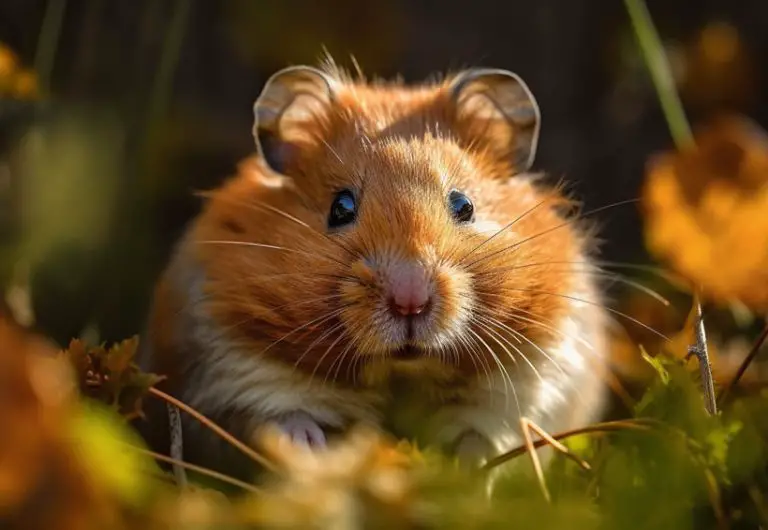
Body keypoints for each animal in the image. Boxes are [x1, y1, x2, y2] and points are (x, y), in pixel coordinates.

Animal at [137, 60, 609, 480]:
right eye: (340, 207)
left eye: (464, 205)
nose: (410, 300)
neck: (402, 371)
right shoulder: (227, 363)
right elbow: (278, 413)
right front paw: (310, 450)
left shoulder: (537, 376)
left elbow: (487, 434)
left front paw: (462, 468)